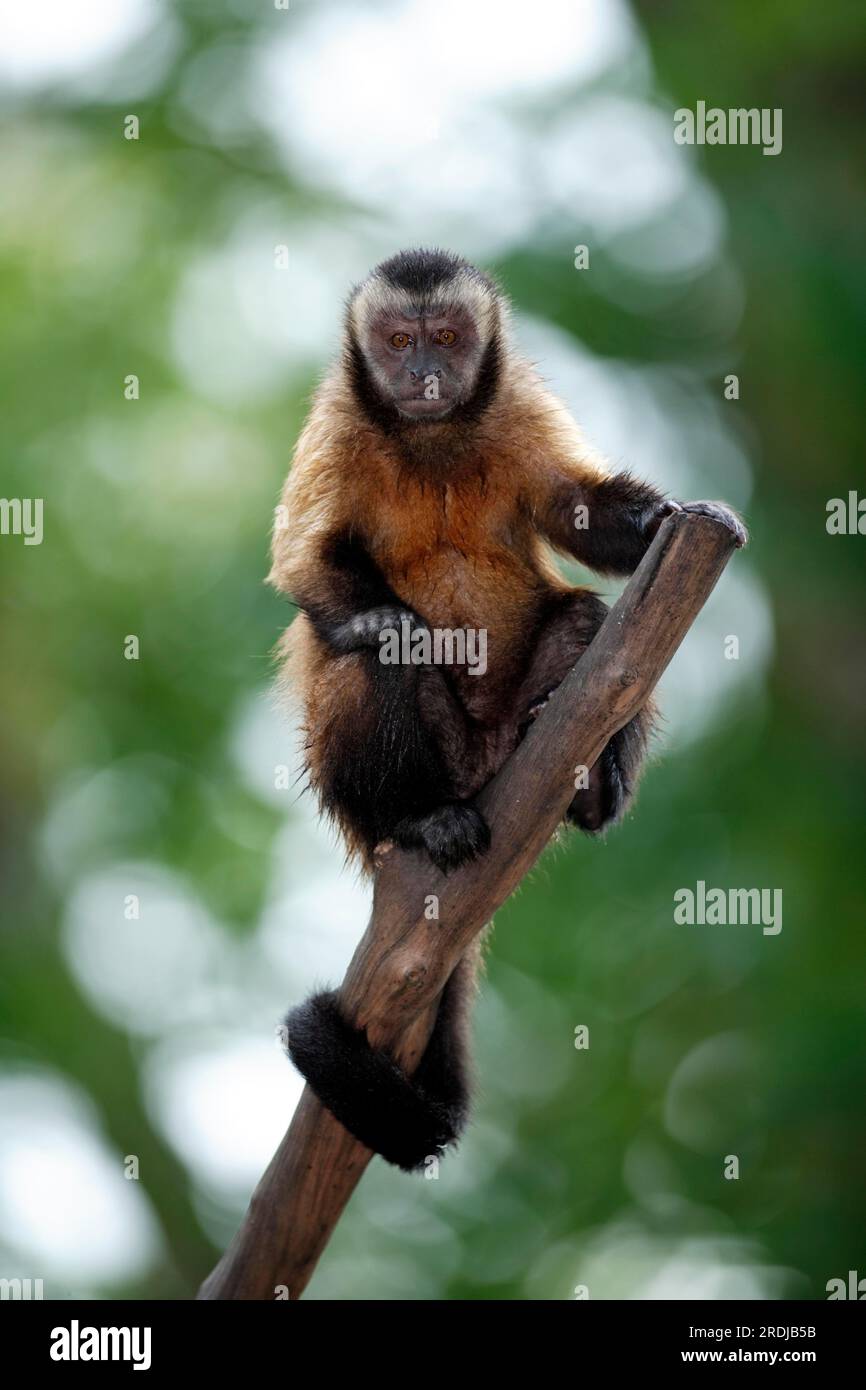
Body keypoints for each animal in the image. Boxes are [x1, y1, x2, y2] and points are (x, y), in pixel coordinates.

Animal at [269, 248, 746, 1172]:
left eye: (450, 339)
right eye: (400, 340)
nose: (424, 372)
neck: (431, 437)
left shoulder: (514, 400)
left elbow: (577, 512)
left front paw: (663, 519)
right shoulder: (338, 419)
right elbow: (302, 563)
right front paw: (379, 622)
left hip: (513, 738)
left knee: (590, 624)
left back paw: (591, 792)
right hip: (423, 771)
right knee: (377, 661)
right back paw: (417, 817)